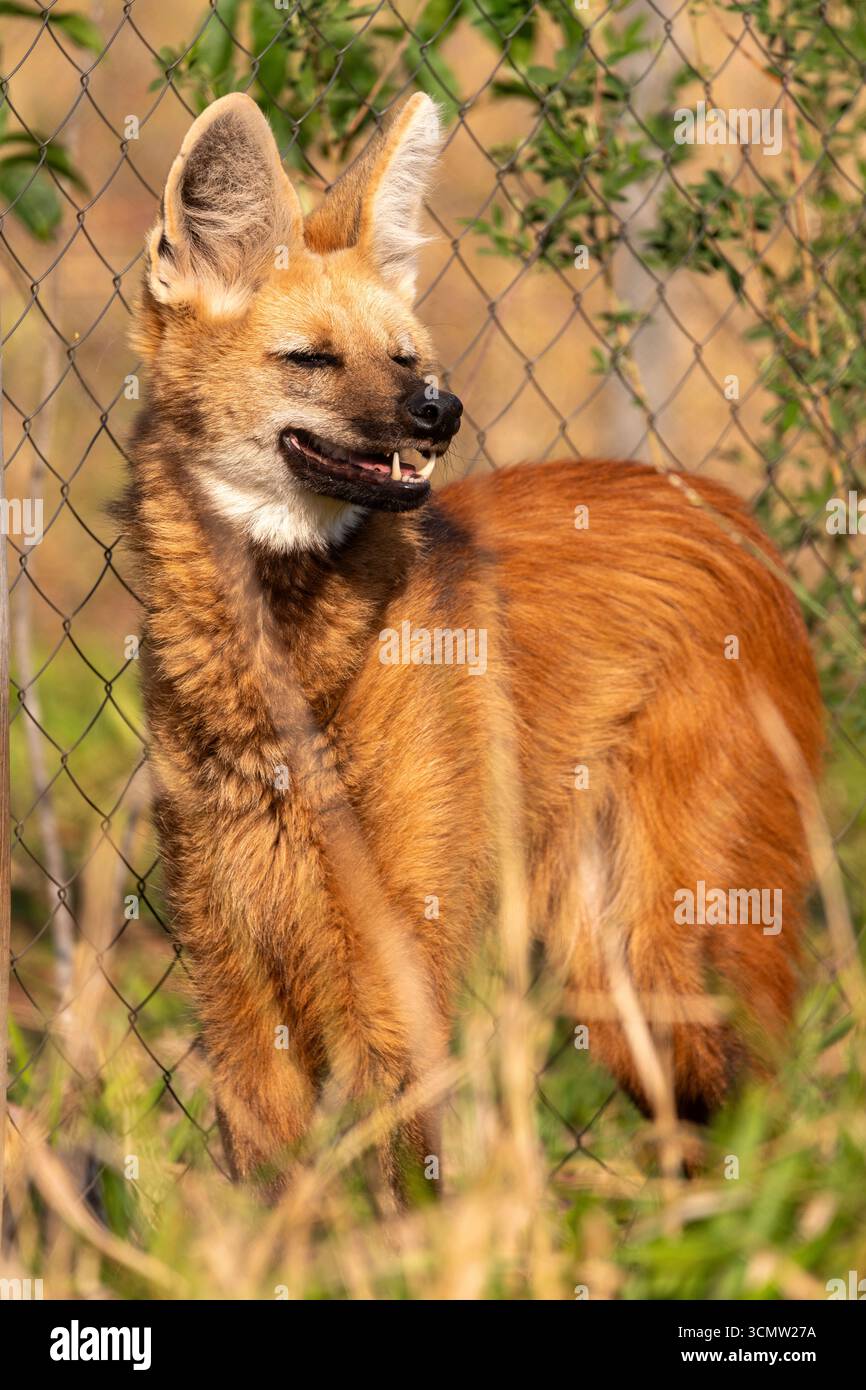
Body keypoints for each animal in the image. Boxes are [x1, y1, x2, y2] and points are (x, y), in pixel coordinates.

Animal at [120, 91, 822, 1194]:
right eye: (311, 357)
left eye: (406, 356)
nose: (438, 410)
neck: (278, 674)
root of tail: (721, 505)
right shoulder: (236, 984)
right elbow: (277, 1195)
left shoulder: (393, 967)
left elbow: (402, 1180)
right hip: (614, 974)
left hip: (679, 930)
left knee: (767, 1108)